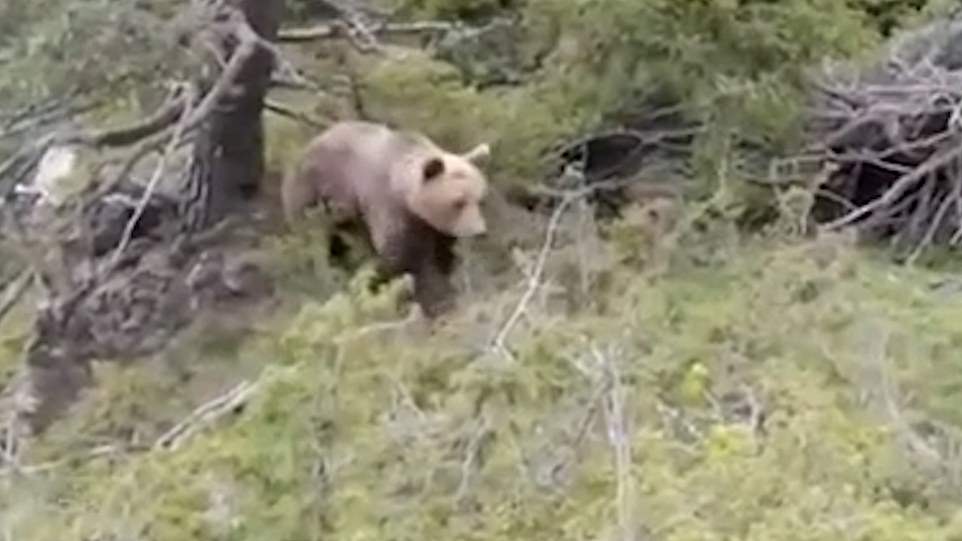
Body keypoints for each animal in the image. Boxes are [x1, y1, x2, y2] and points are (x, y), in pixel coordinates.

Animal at [281, 120, 491, 317]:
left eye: (480, 199)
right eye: (459, 202)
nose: (479, 231)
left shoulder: (432, 227)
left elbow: (441, 257)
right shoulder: (388, 206)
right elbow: (404, 258)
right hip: (315, 197)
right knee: (317, 245)